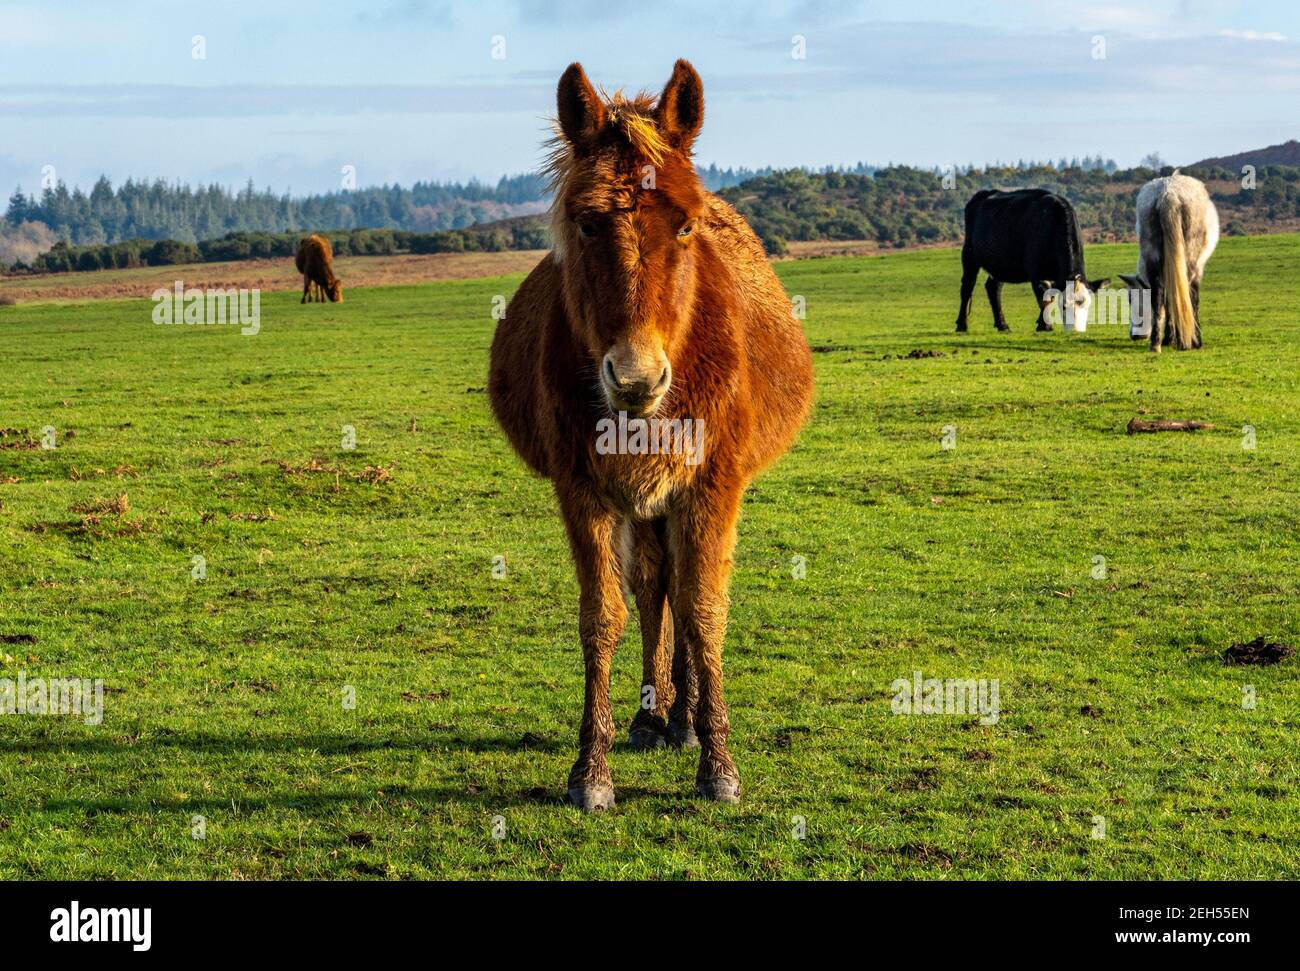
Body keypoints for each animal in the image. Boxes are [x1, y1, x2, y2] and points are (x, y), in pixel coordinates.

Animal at [488, 60, 813, 810]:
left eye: (686, 225)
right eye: (585, 223)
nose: (636, 378)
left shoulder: (713, 487)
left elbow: (705, 608)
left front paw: (718, 764)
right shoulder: (586, 491)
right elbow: (605, 615)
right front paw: (591, 770)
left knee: (682, 591)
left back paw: (686, 721)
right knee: (653, 587)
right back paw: (653, 714)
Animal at [955, 189, 1106, 333]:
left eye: (1088, 305)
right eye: (1064, 305)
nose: (1076, 330)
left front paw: (1042, 323)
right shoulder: (1036, 273)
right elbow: (1045, 299)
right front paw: (1045, 326)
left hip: (1000, 264)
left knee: (994, 288)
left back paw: (1002, 325)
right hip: (969, 254)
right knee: (967, 287)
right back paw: (961, 325)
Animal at [1119, 172, 1219, 352]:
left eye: (1131, 298)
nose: (1135, 335)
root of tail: (1168, 194)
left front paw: (1168, 338)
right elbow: (1192, 298)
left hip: (1152, 253)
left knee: (1159, 294)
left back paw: (1156, 343)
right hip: (1189, 260)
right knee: (1185, 293)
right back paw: (1187, 341)